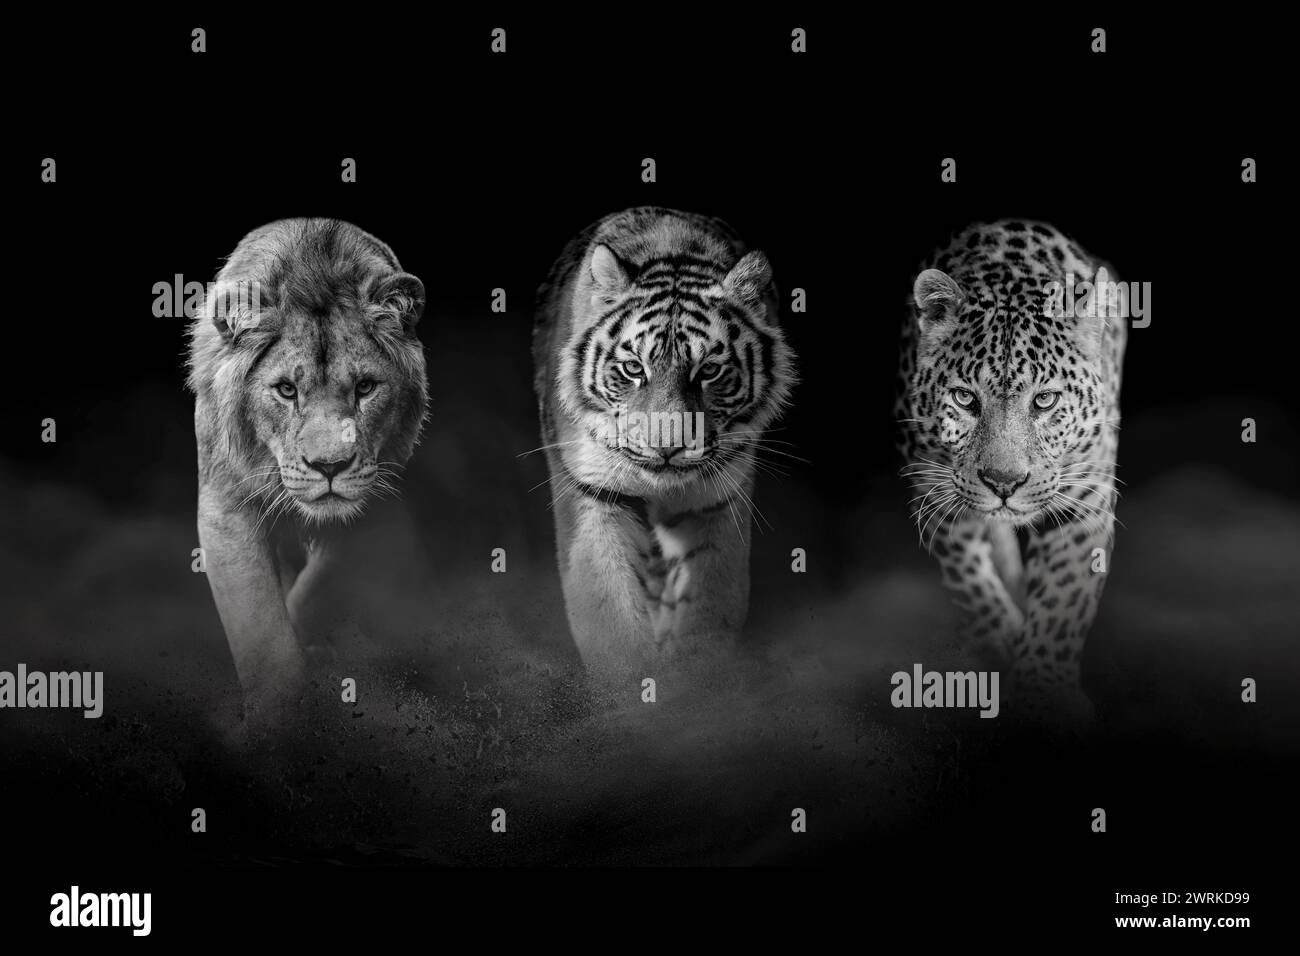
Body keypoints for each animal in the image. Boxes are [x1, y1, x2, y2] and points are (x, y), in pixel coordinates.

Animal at [187, 218, 428, 716]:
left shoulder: (376, 495)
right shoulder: (226, 506)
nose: (329, 466)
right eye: (285, 390)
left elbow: (322, 585)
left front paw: (314, 647)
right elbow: (260, 628)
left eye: (365, 387)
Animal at [532, 206, 797, 681]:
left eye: (708, 370)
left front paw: (693, 684)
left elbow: (711, 605)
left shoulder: (716, 498)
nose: (668, 447)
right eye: (634, 368)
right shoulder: (594, 494)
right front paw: (634, 687)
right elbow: (610, 616)